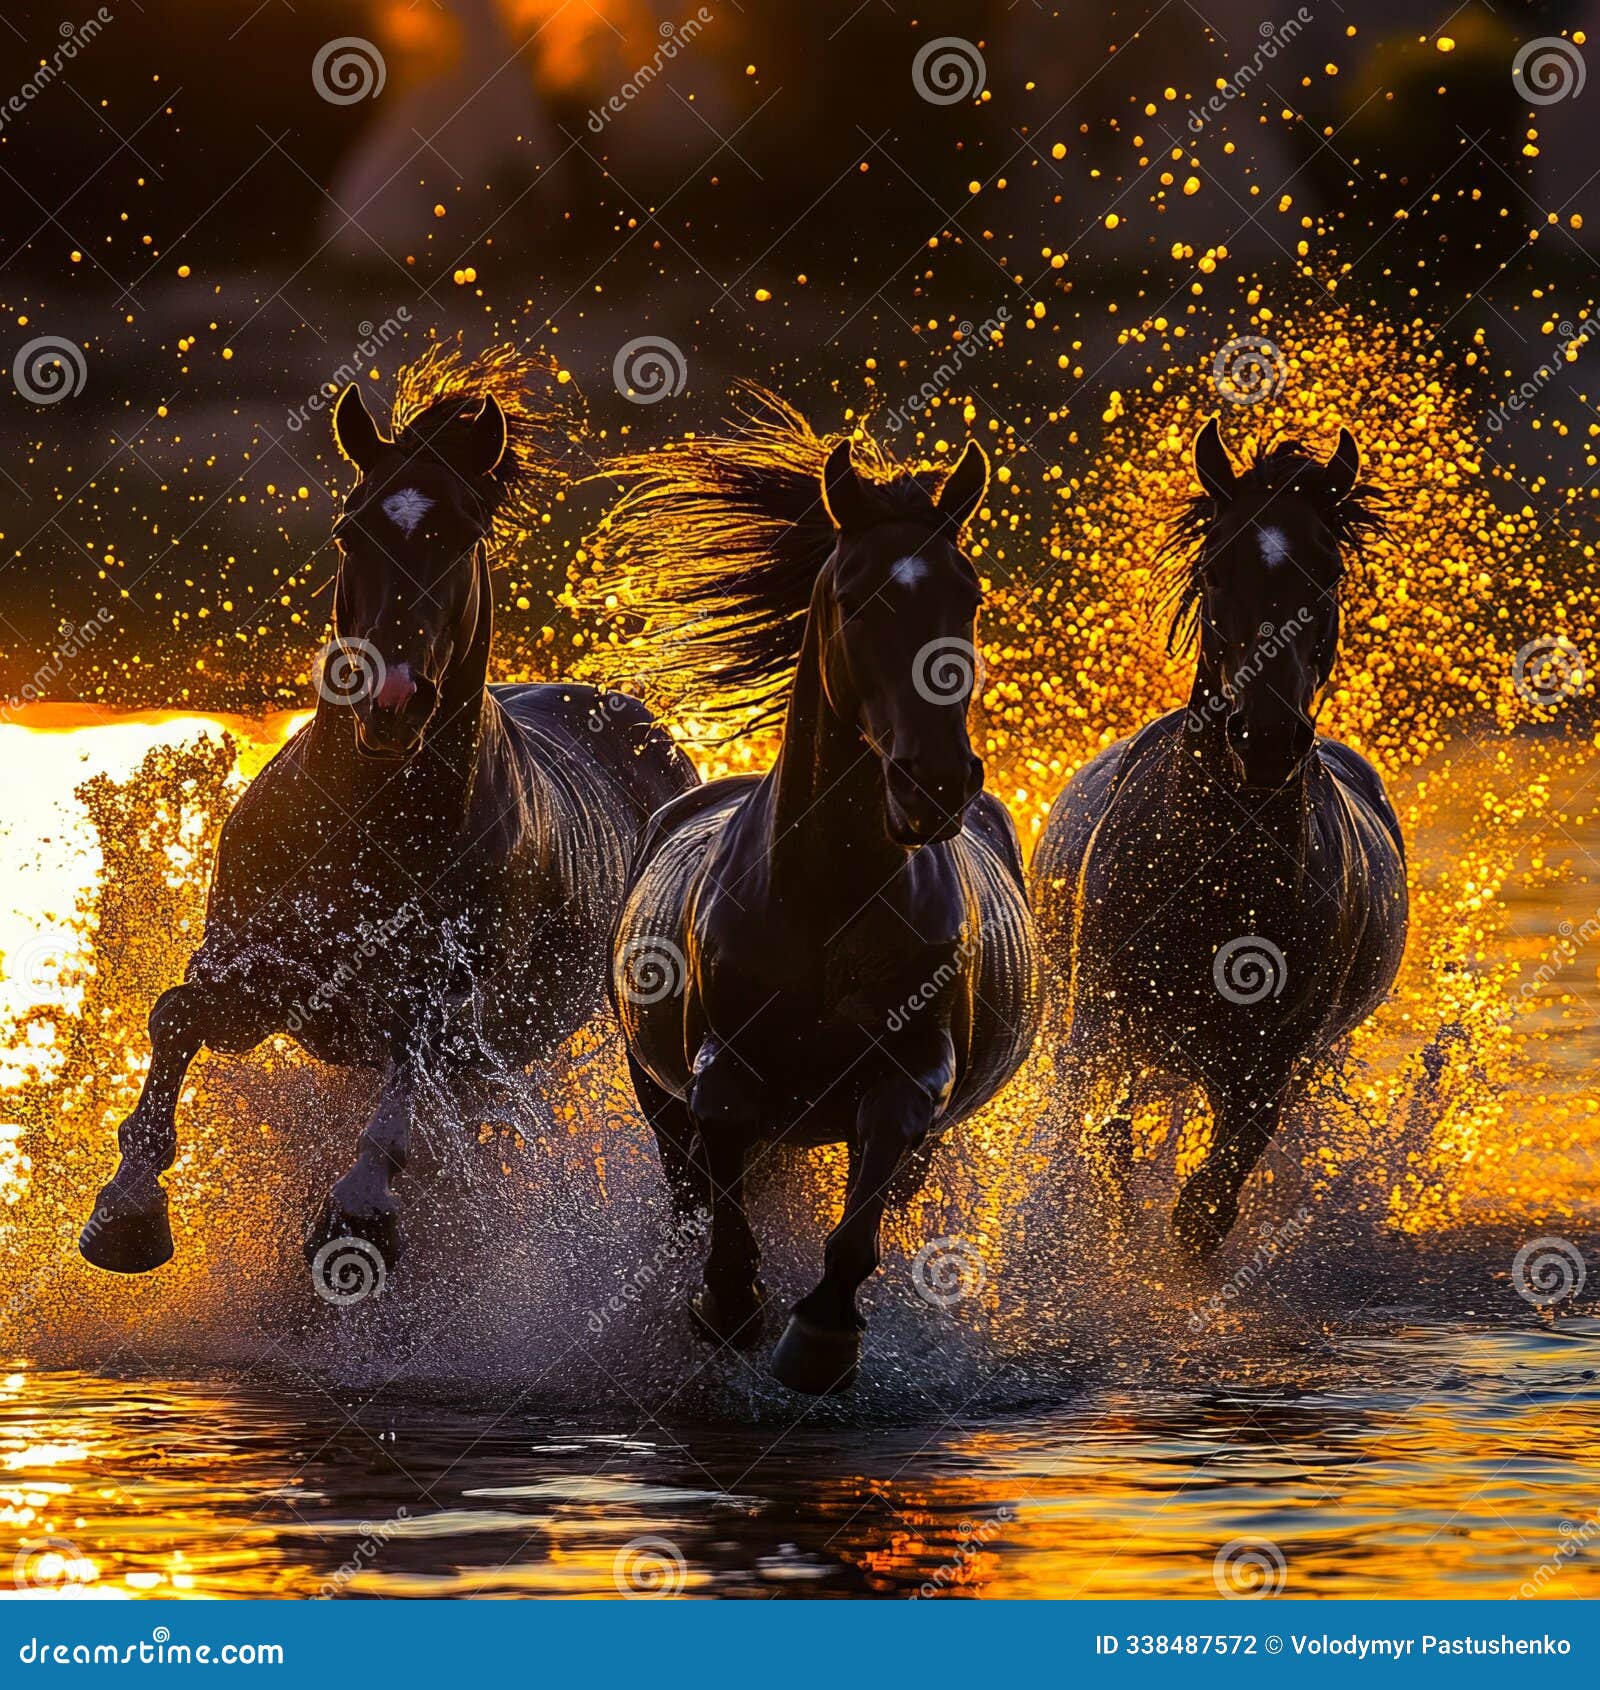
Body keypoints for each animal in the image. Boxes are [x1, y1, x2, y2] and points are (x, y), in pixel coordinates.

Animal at [79, 357, 698, 1287]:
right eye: (351, 530)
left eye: (462, 534)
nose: (392, 699)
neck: (367, 824)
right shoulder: (263, 982)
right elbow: (175, 1015)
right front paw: (126, 1211)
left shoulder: (451, 1009)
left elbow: (412, 1066)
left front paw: (359, 1212)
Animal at [590, 403, 1039, 1394]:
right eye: (857, 597)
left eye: (969, 596)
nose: (934, 784)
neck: (830, 897)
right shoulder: (720, 1064)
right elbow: (723, 1141)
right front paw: (727, 1305)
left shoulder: (914, 1071)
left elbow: (864, 1205)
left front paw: (820, 1336)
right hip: (653, 1094)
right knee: (690, 1187)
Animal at [1032, 417, 1408, 1255]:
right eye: (1214, 570)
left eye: (1328, 573)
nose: (1264, 739)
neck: (1215, 880)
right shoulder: (1101, 1030)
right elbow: (1104, 1159)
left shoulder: (1265, 1071)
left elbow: (1206, 1206)